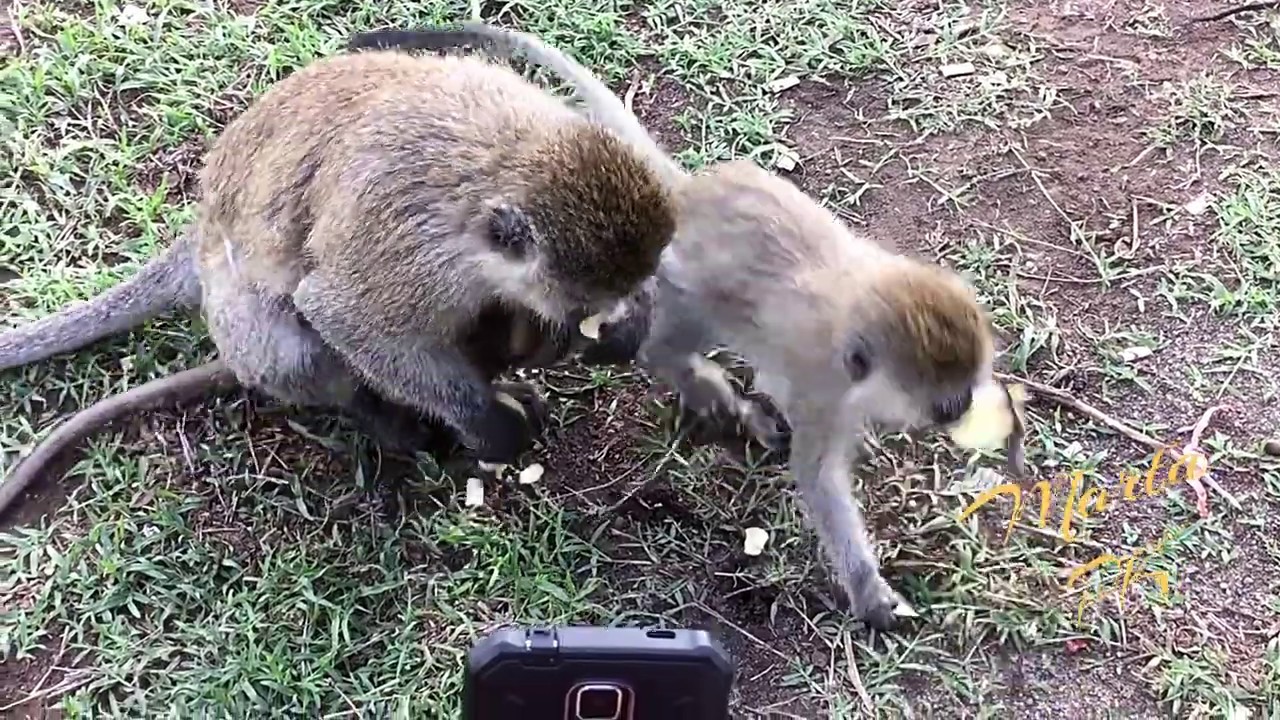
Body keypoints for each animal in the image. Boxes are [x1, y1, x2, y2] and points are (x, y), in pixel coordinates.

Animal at [0, 49, 676, 501]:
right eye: (581, 297)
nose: (608, 314)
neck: (505, 155)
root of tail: (200, 234)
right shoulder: (411, 246)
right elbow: (341, 314)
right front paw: (488, 426)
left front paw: (628, 326)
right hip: (241, 321)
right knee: (299, 350)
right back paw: (391, 421)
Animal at [347, 24, 1028, 632]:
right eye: (945, 401)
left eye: (968, 387)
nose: (963, 409)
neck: (852, 312)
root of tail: (682, 200)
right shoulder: (822, 391)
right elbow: (818, 477)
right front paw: (868, 590)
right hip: (682, 290)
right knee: (668, 345)